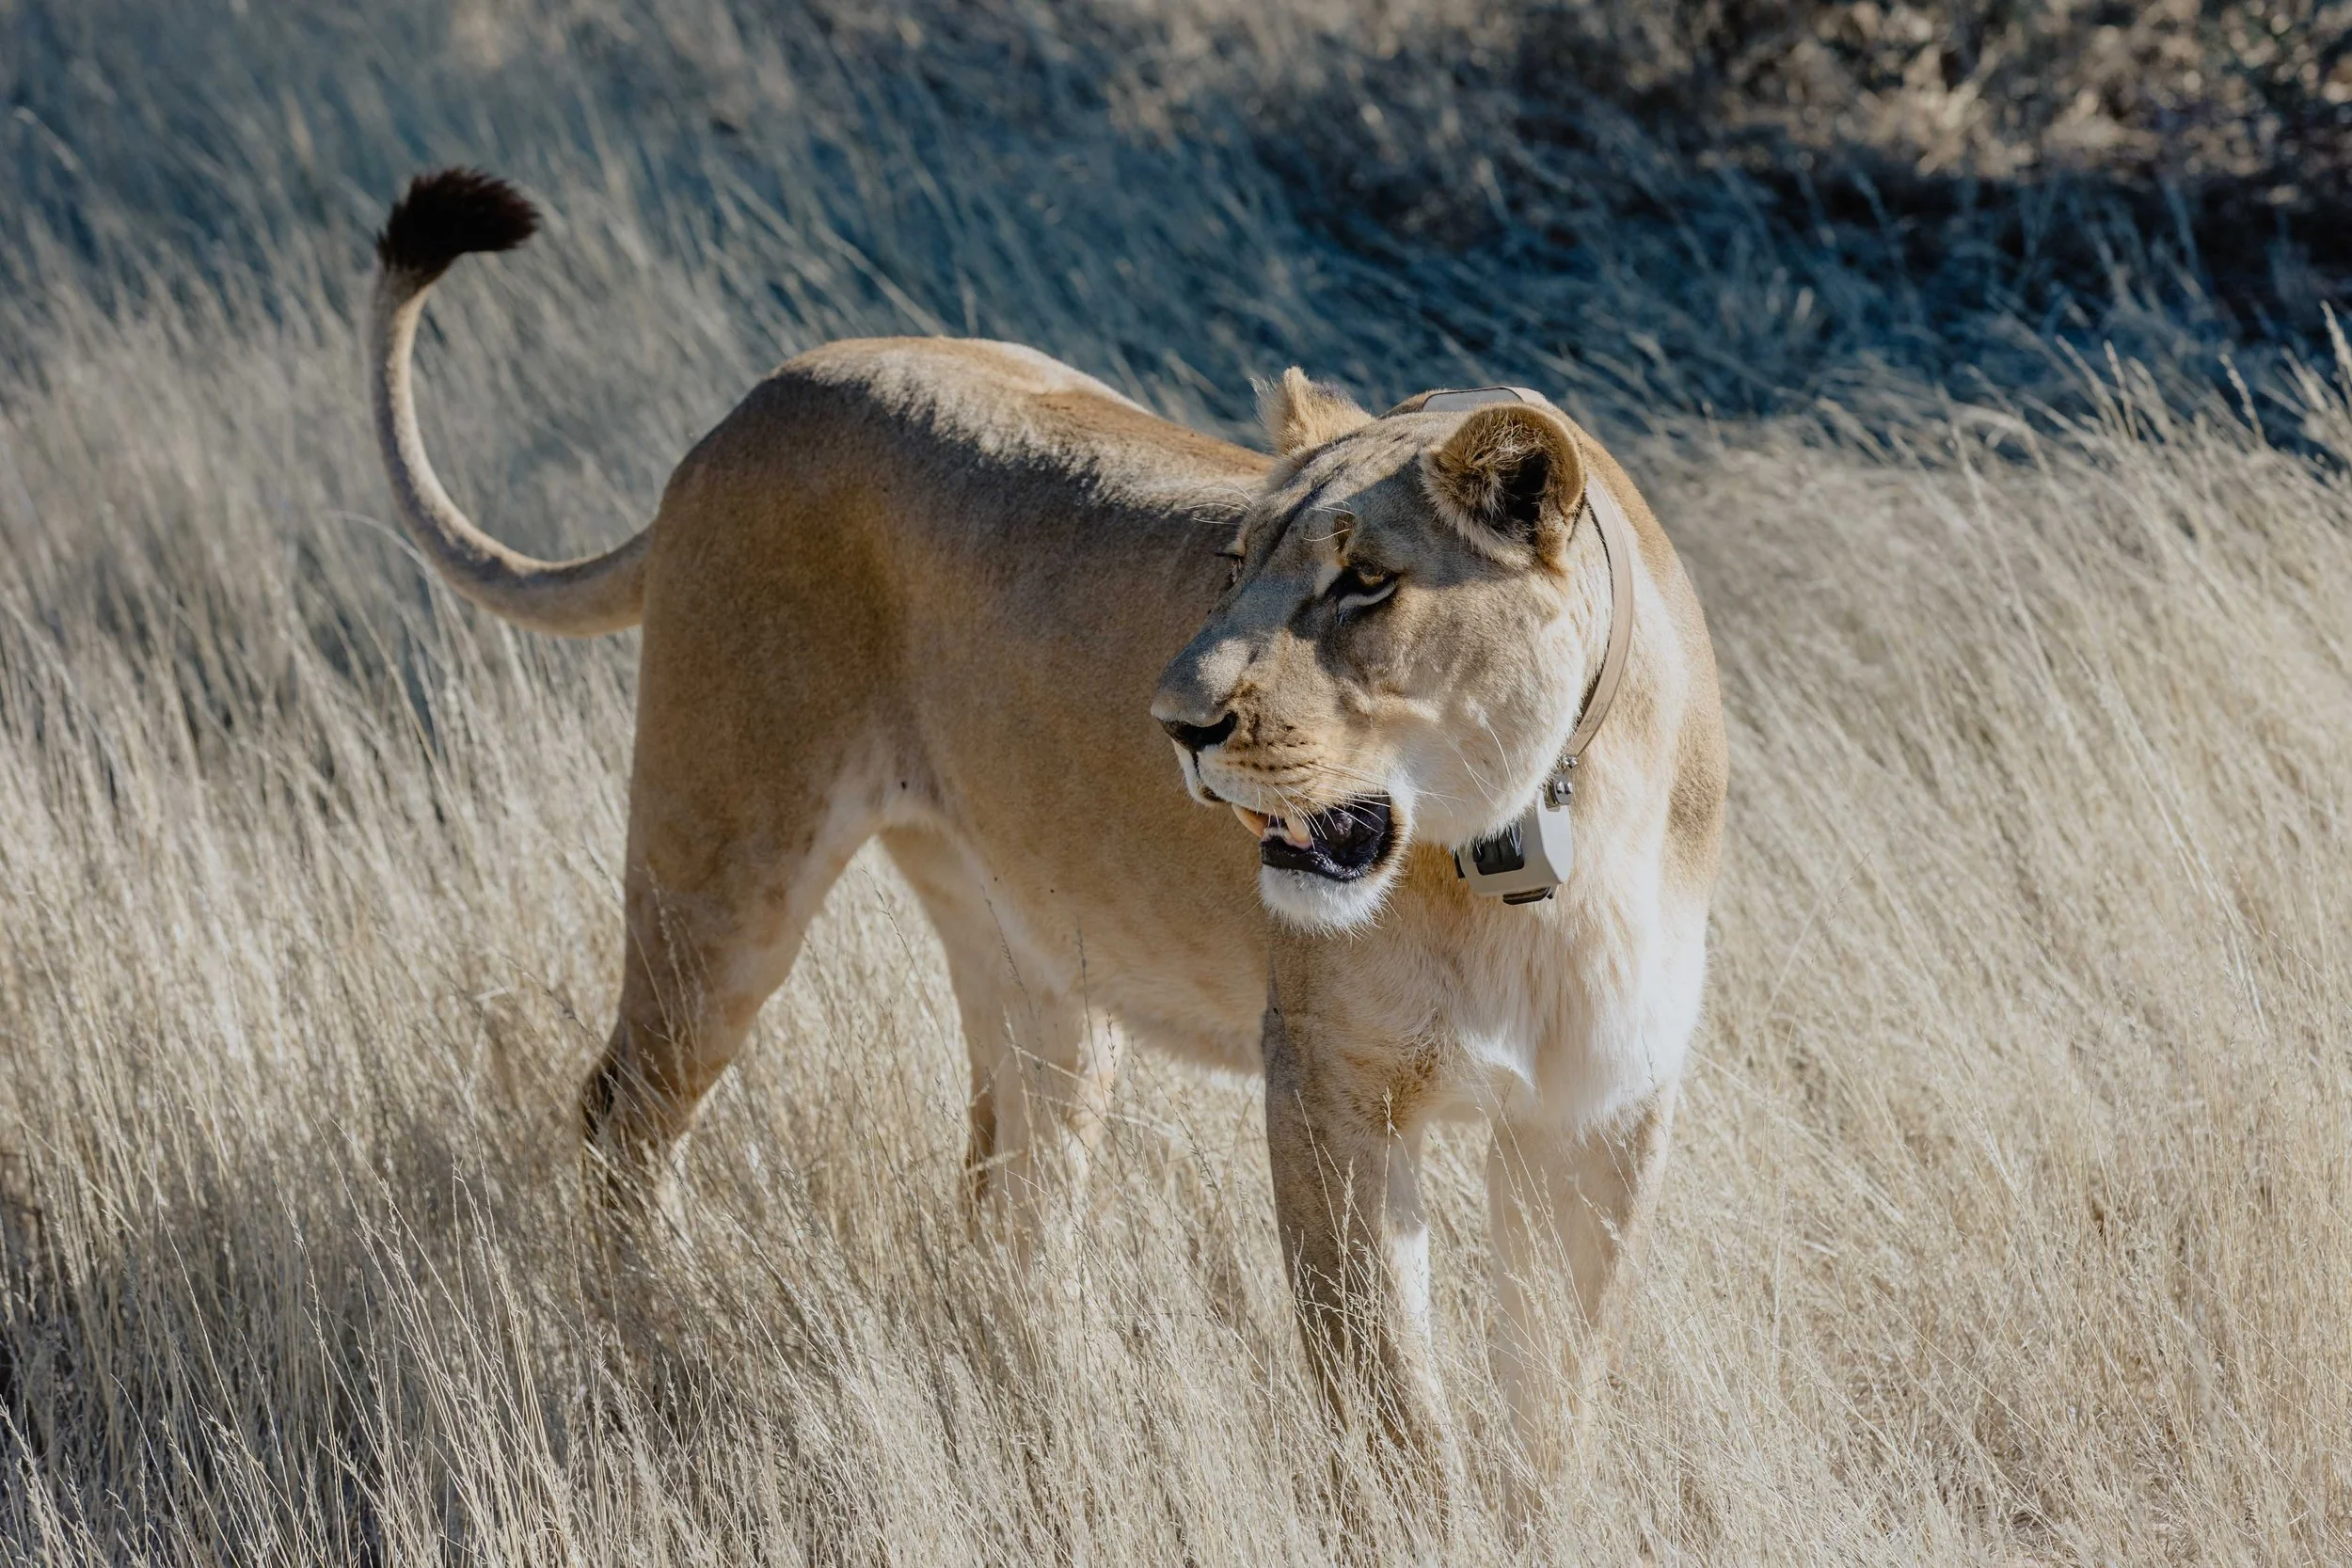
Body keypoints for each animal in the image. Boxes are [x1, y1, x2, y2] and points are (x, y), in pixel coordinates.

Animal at [367, 168, 1726, 1497]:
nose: (1175, 722)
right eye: (1233, 560)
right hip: (723, 869)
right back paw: (651, 1345)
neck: (1521, 846)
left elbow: (1555, 1390)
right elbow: (1386, 1398)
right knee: (623, 1117)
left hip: (1034, 965)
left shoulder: (1599, 1113)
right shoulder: (1330, 1079)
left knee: (1001, 1200)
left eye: (1368, 580)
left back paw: (1057, 1411)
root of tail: (754, 400)